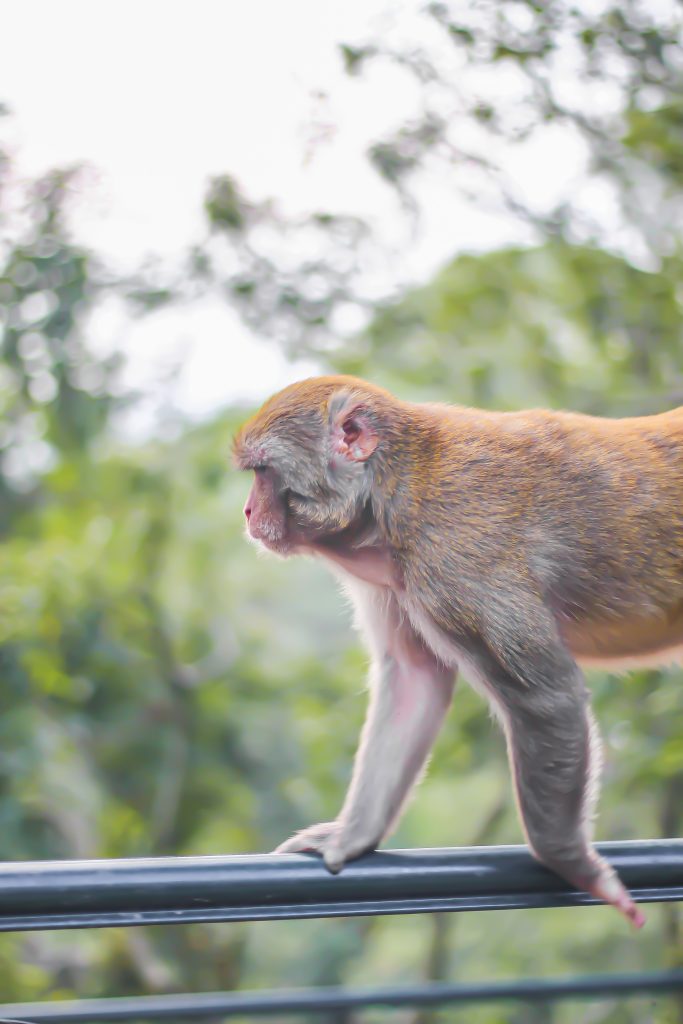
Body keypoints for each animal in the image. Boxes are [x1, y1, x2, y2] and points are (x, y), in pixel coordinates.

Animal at [233, 375, 683, 928]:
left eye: (263, 472)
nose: (248, 512)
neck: (394, 489)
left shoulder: (456, 560)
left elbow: (546, 697)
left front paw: (573, 863)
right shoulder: (394, 577)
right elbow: (414, 682)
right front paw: (352, 834)